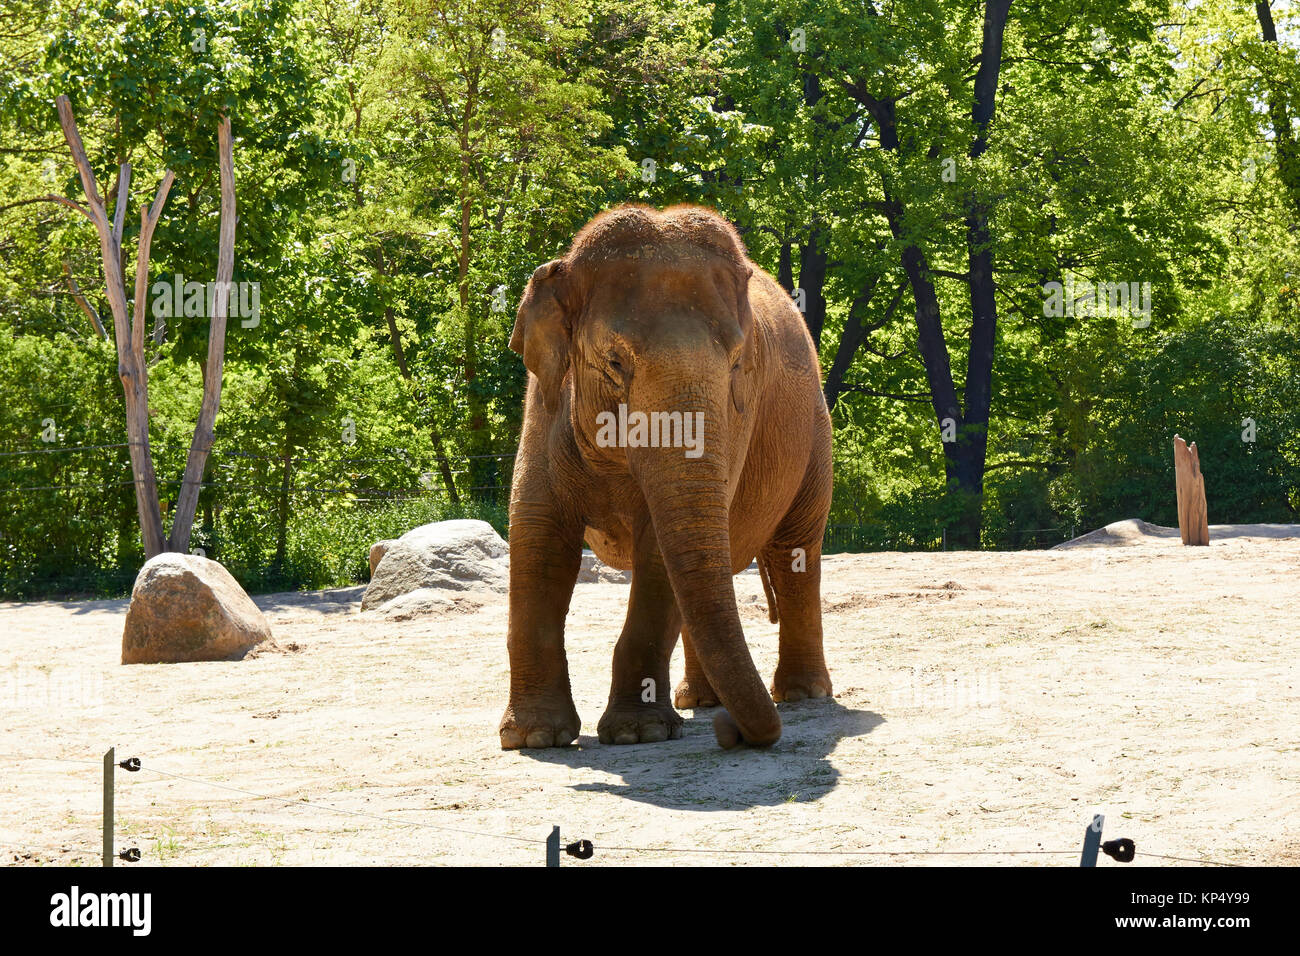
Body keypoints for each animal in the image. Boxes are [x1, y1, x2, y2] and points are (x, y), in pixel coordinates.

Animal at [500, 204, 833, 750]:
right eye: (614, 362)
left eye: (737, 363)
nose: (734, 735)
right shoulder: (544, 407)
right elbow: (537, 537)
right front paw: (534, 739)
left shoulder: (735, 418)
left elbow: (658, 553)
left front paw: (640, 733)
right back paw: (703, 702)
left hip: (814, 437)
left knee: (795, 551)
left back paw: (803, 695)